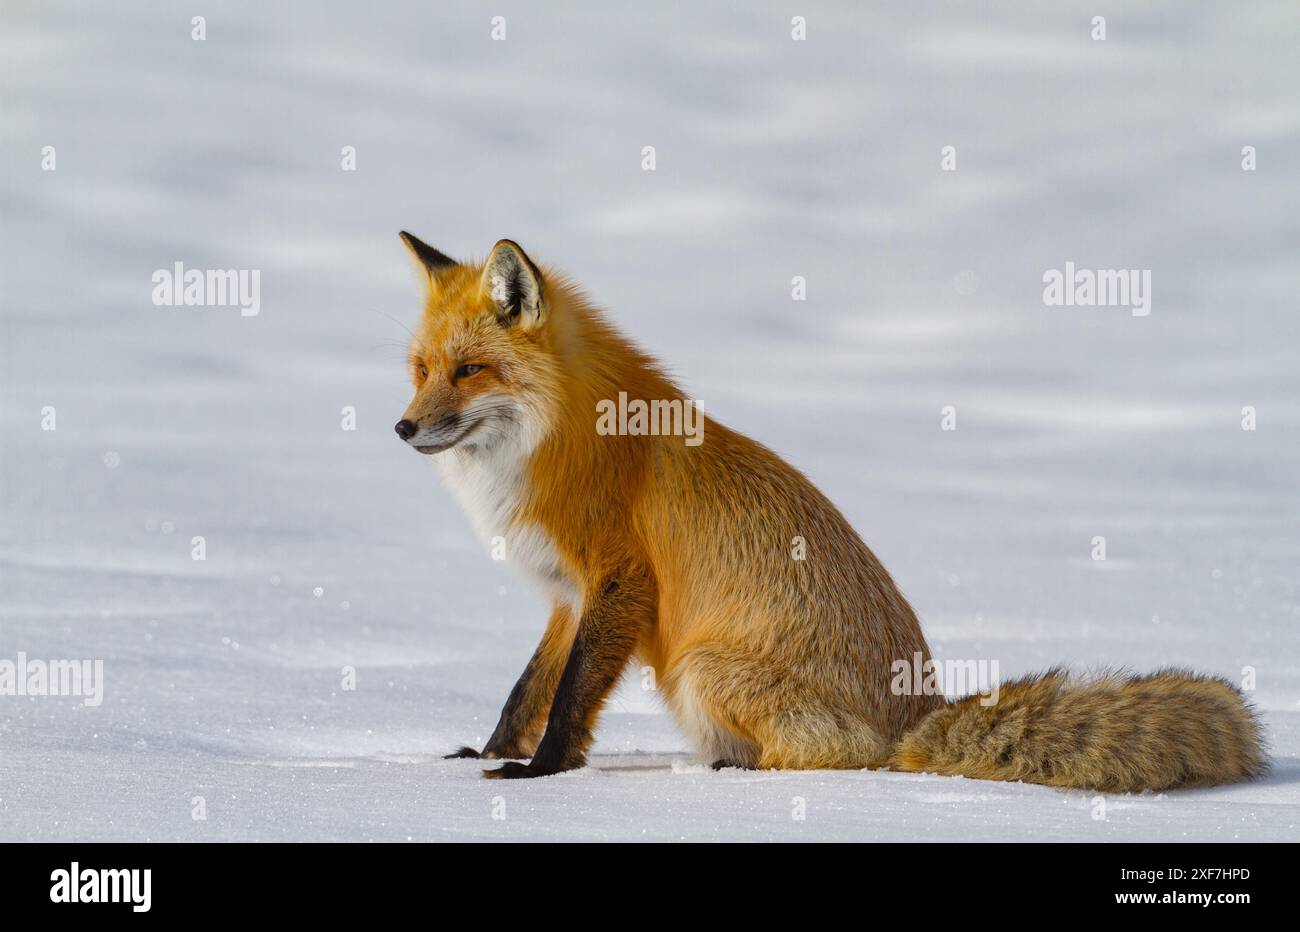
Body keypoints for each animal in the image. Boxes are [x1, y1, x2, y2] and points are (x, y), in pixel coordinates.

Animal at [394, 231, 1266, 790]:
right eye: (422, 369)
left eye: (470, 371)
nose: (401, 429)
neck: (560, 439)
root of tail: (917, 713)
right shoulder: (568, 596)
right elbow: (526, 690)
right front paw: (484, 754)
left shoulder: (619, 579)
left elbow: (571, 696)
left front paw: (541, 772)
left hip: (700, 667)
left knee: (831, 760)